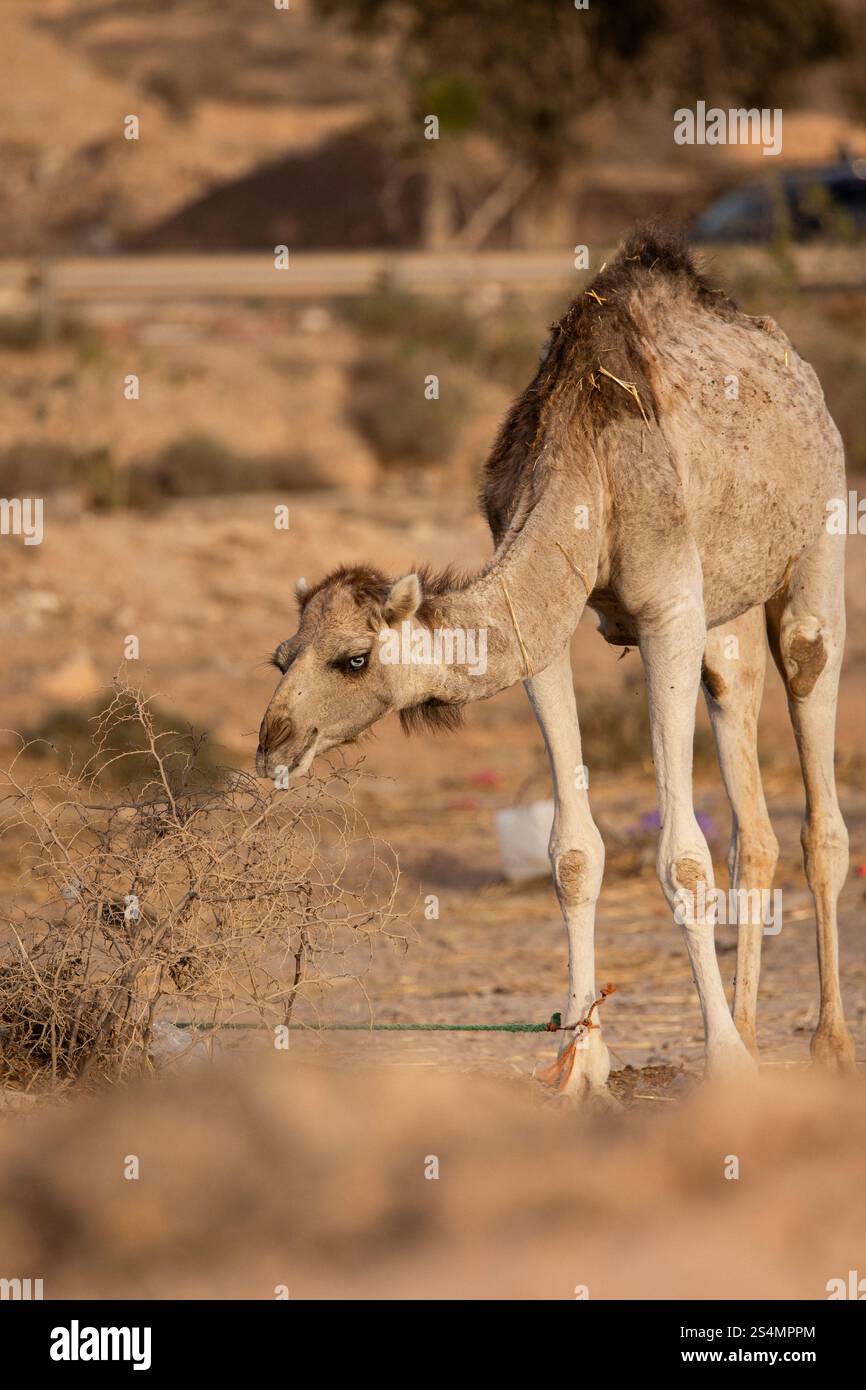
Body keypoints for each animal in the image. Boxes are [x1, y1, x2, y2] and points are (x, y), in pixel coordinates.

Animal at [257, 226, 854, 1099]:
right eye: (280, 656)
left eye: (353, 659)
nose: (272, 745)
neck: (586, 468)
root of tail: (798, 369)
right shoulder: (549, 633)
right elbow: (574, 852)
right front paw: (581, 1063)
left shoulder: (669, 611)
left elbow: (683, 860)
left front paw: (724, 1062)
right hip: (728, 611)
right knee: (750, 797)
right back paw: (750, 1025)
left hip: (817, 538)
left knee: (815, 748)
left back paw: (828, 1046)